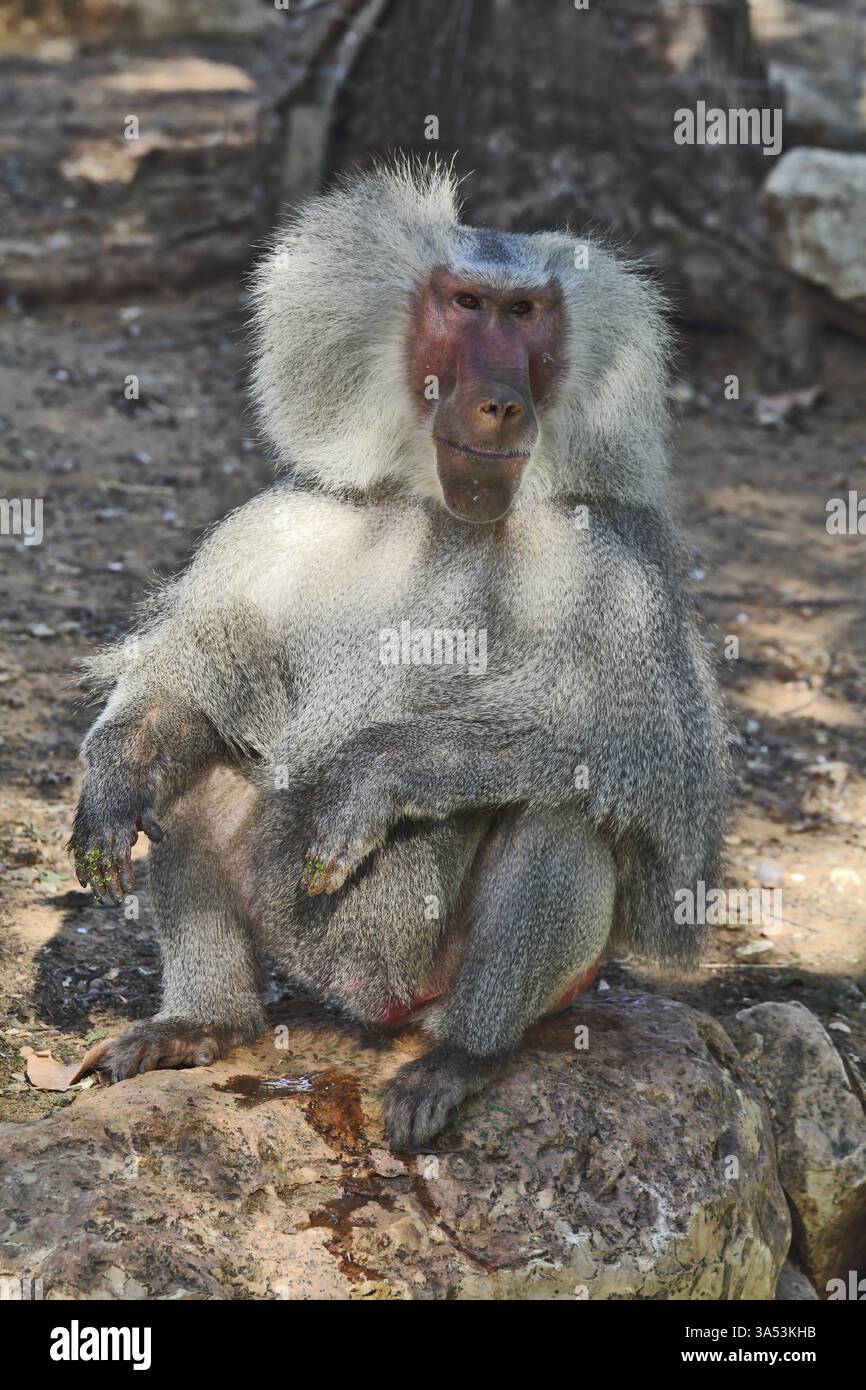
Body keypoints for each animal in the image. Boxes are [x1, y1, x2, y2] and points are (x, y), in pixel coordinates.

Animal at [69, 157, 729, 1149]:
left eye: (525, 314)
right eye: (466, 304)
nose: (501, 403)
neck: (440, 510)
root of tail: (371, 1007)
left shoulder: (616, 567)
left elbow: (644, 769)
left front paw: (371, 777)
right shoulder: (284, 523)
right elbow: (190, 700)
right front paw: (110, 782)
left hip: (482, 985)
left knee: (561, 808)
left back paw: (463, 1058)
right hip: (299, 940)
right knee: (192, 786)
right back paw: (203, 1024)